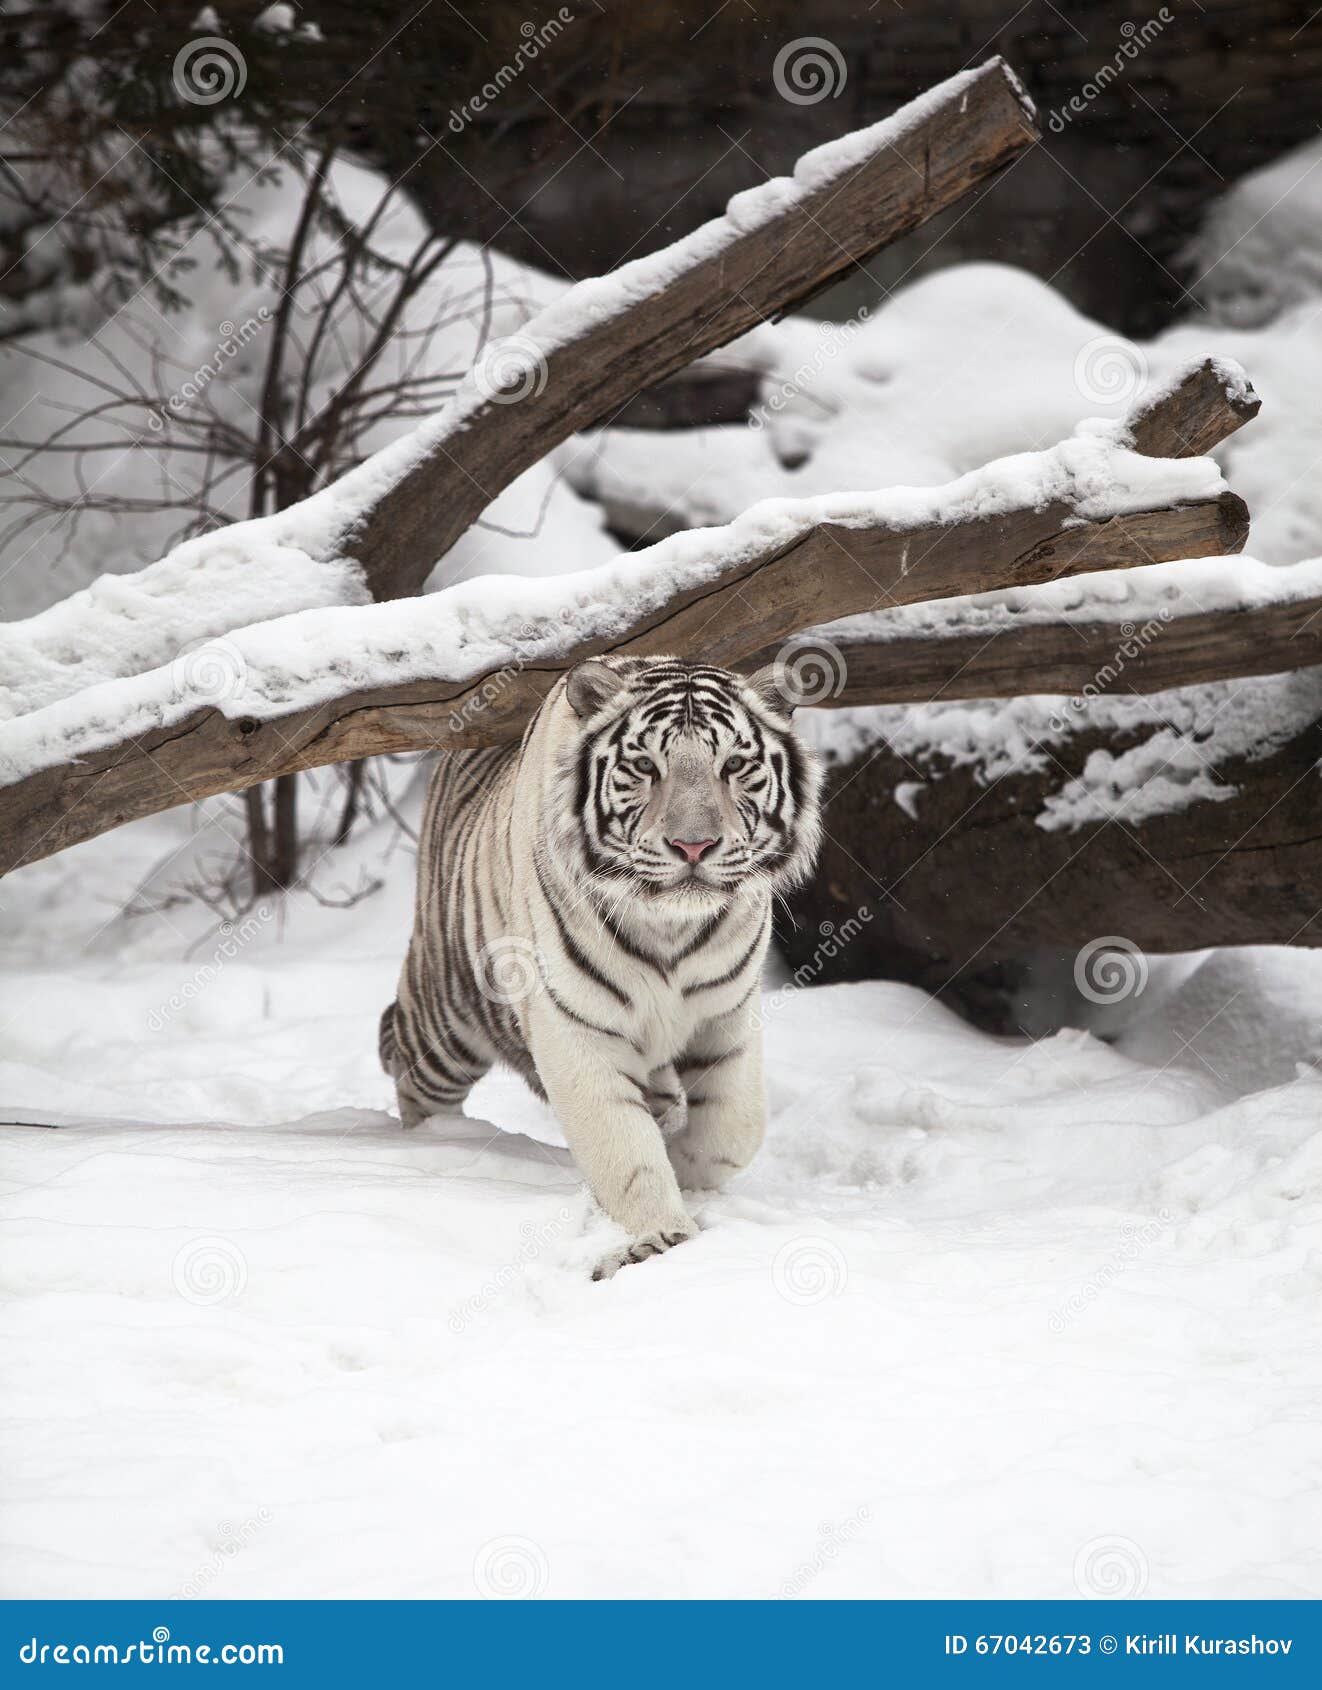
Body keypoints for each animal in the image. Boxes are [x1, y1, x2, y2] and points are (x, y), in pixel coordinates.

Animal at [380, 654, 822, 1278]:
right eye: (644, 766)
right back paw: (430, 1143)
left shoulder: (728, 1016)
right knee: (410, 1074)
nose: (694, 846)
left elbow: (735, 1127)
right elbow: (625, 1151)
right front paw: (659, 1235)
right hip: (445, 1023)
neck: (669, 926)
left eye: (734, 765)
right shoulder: (575, 1028)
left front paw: (684, 1164)